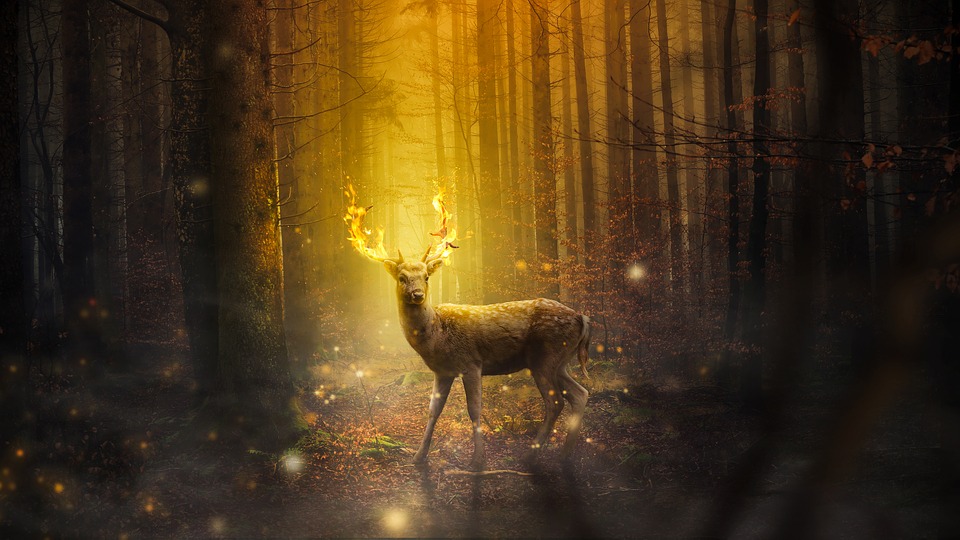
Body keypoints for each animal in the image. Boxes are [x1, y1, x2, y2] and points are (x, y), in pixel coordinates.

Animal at [344, 185, 591, 471]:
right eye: (402, 278)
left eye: (426, 277)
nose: (417, 294)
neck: (437, 336)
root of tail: (582, 317)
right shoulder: (442, 371)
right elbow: (433, 411)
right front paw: (419, 457)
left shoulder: (471, 363)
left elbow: (474, 409)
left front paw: (478, 460)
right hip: (560, 361)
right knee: (580, 393)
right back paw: (564, 457)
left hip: (545, 357)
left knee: (555, 402)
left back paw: (530, 456)